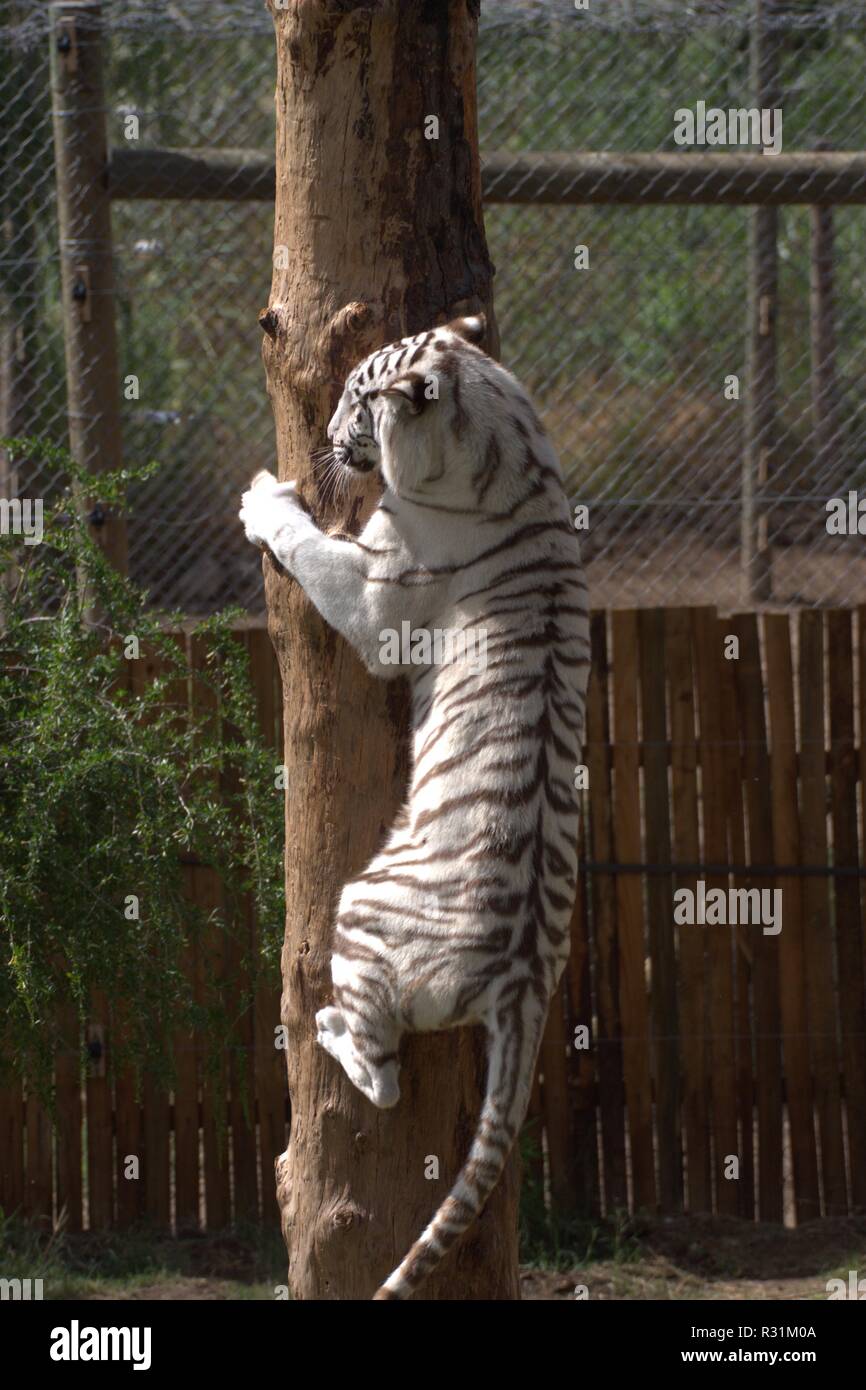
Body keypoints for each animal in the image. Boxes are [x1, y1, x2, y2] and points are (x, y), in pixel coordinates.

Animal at [239, 313, 590, 1300]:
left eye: (360, 401)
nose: (327, 438)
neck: (507, 447)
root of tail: (525, 982)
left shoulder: (371, 590)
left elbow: (311, 545)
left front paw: (264, 497)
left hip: (360, 907)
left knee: (382, 1071)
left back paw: (325, 1031)